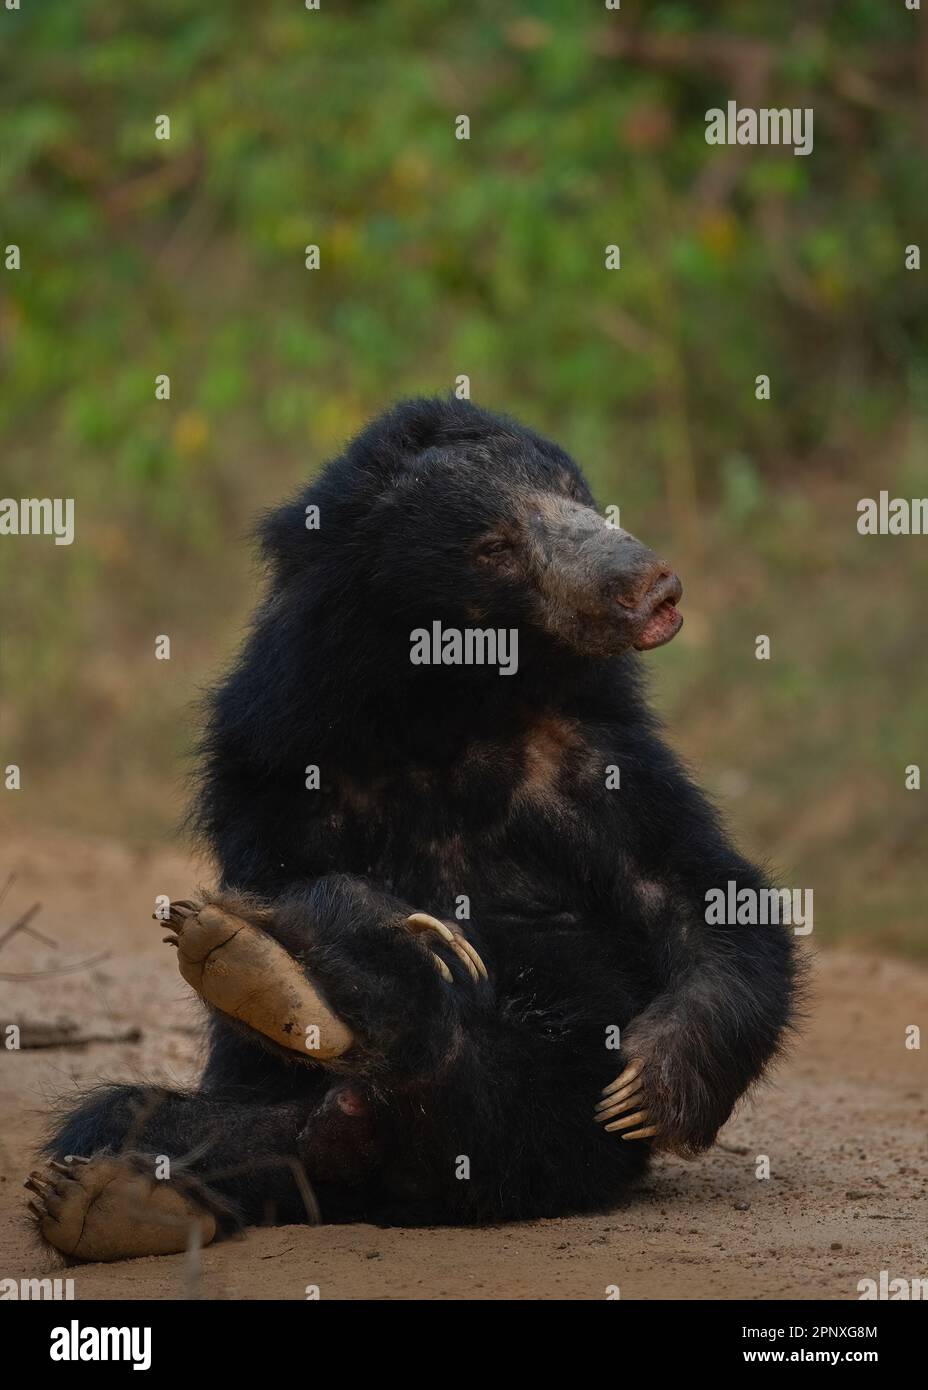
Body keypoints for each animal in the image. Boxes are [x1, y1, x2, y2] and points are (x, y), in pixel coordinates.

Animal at [27, 397, 798, 1261]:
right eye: (495, 547)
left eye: (573, 492)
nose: (651, 586)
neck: (444, 706)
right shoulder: (274, 760)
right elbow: (280, 880)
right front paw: (391, 931)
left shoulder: (598, 758)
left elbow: (698, 894)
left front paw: (650, 1086)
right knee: (129, 1116)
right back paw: (123, 1180)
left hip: (546, 1104)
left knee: (490, 1093)